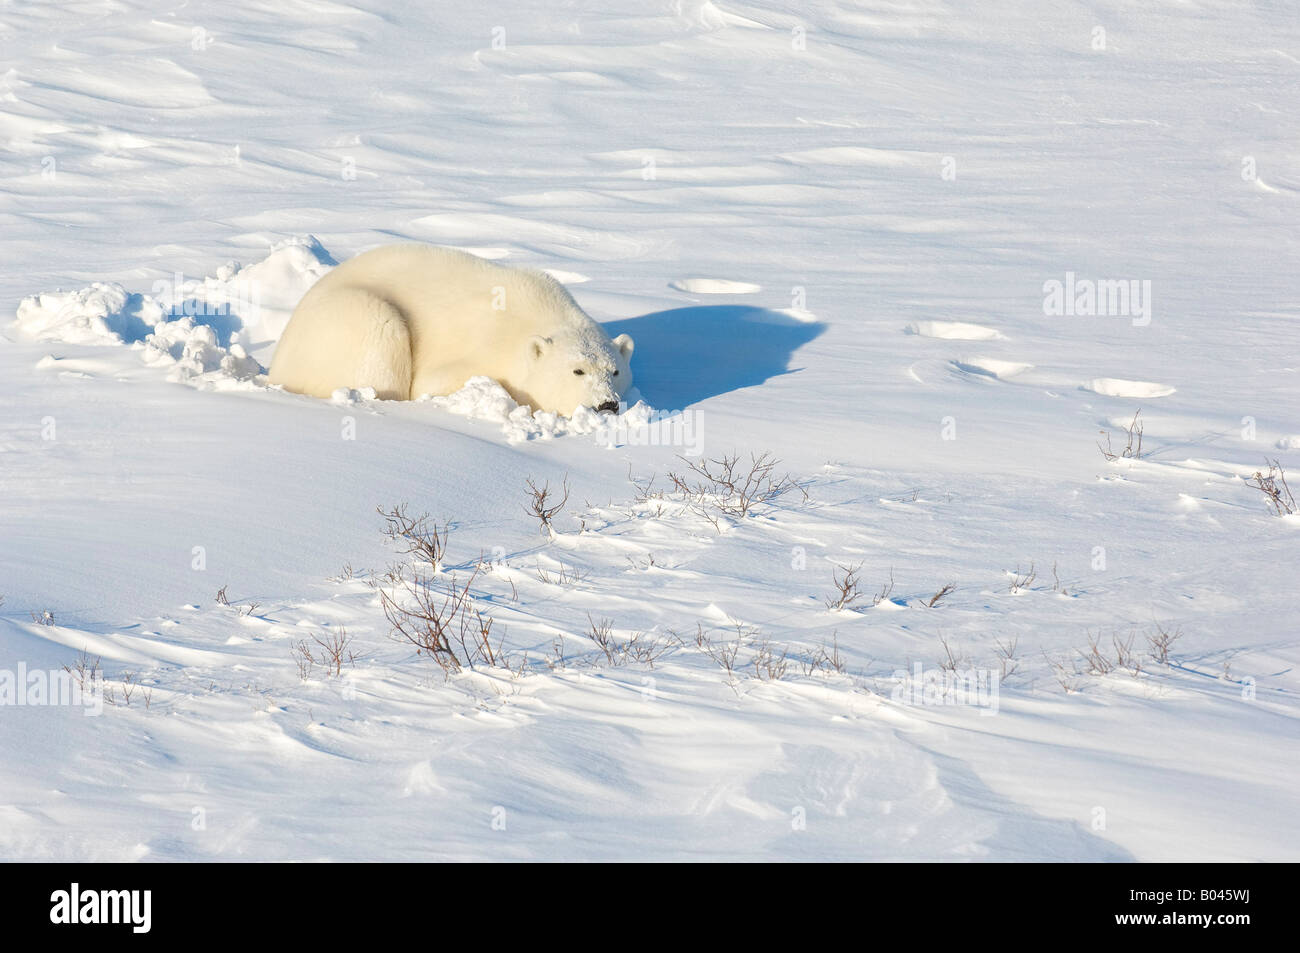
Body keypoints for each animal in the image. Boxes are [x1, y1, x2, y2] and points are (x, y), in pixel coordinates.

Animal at [267, 243, 634, 415]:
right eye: (577, 370)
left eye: (615, 371)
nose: (607, 405)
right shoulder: (480, 344)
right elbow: (434, 382)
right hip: (353, 317)